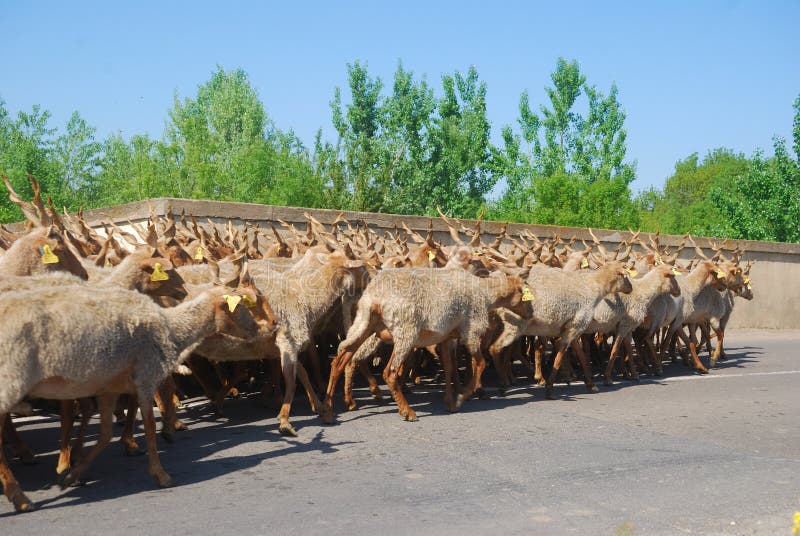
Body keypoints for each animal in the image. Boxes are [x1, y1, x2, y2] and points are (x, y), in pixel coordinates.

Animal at [0, 283, 260, 513]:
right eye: (238, 305)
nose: (257, 329)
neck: (171, 328)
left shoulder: (109, 388)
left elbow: (105, 435)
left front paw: (72, 475)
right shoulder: (146, 377)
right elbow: (150, 429)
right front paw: (161, 474)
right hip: (11, 380)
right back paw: (20, 497)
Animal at [323, 267, 523, 422]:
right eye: (521, 291)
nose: (526, 314)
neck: (485, 294)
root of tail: (375, 295)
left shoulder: (447, 336)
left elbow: (449, 367)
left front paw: (450, 401)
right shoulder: (471, 332)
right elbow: (480, 364)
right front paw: (462, 397)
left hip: (366, 324)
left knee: (341, 360)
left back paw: (331, 410)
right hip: (405, 329)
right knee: (390, 372)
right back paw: (407, 412)